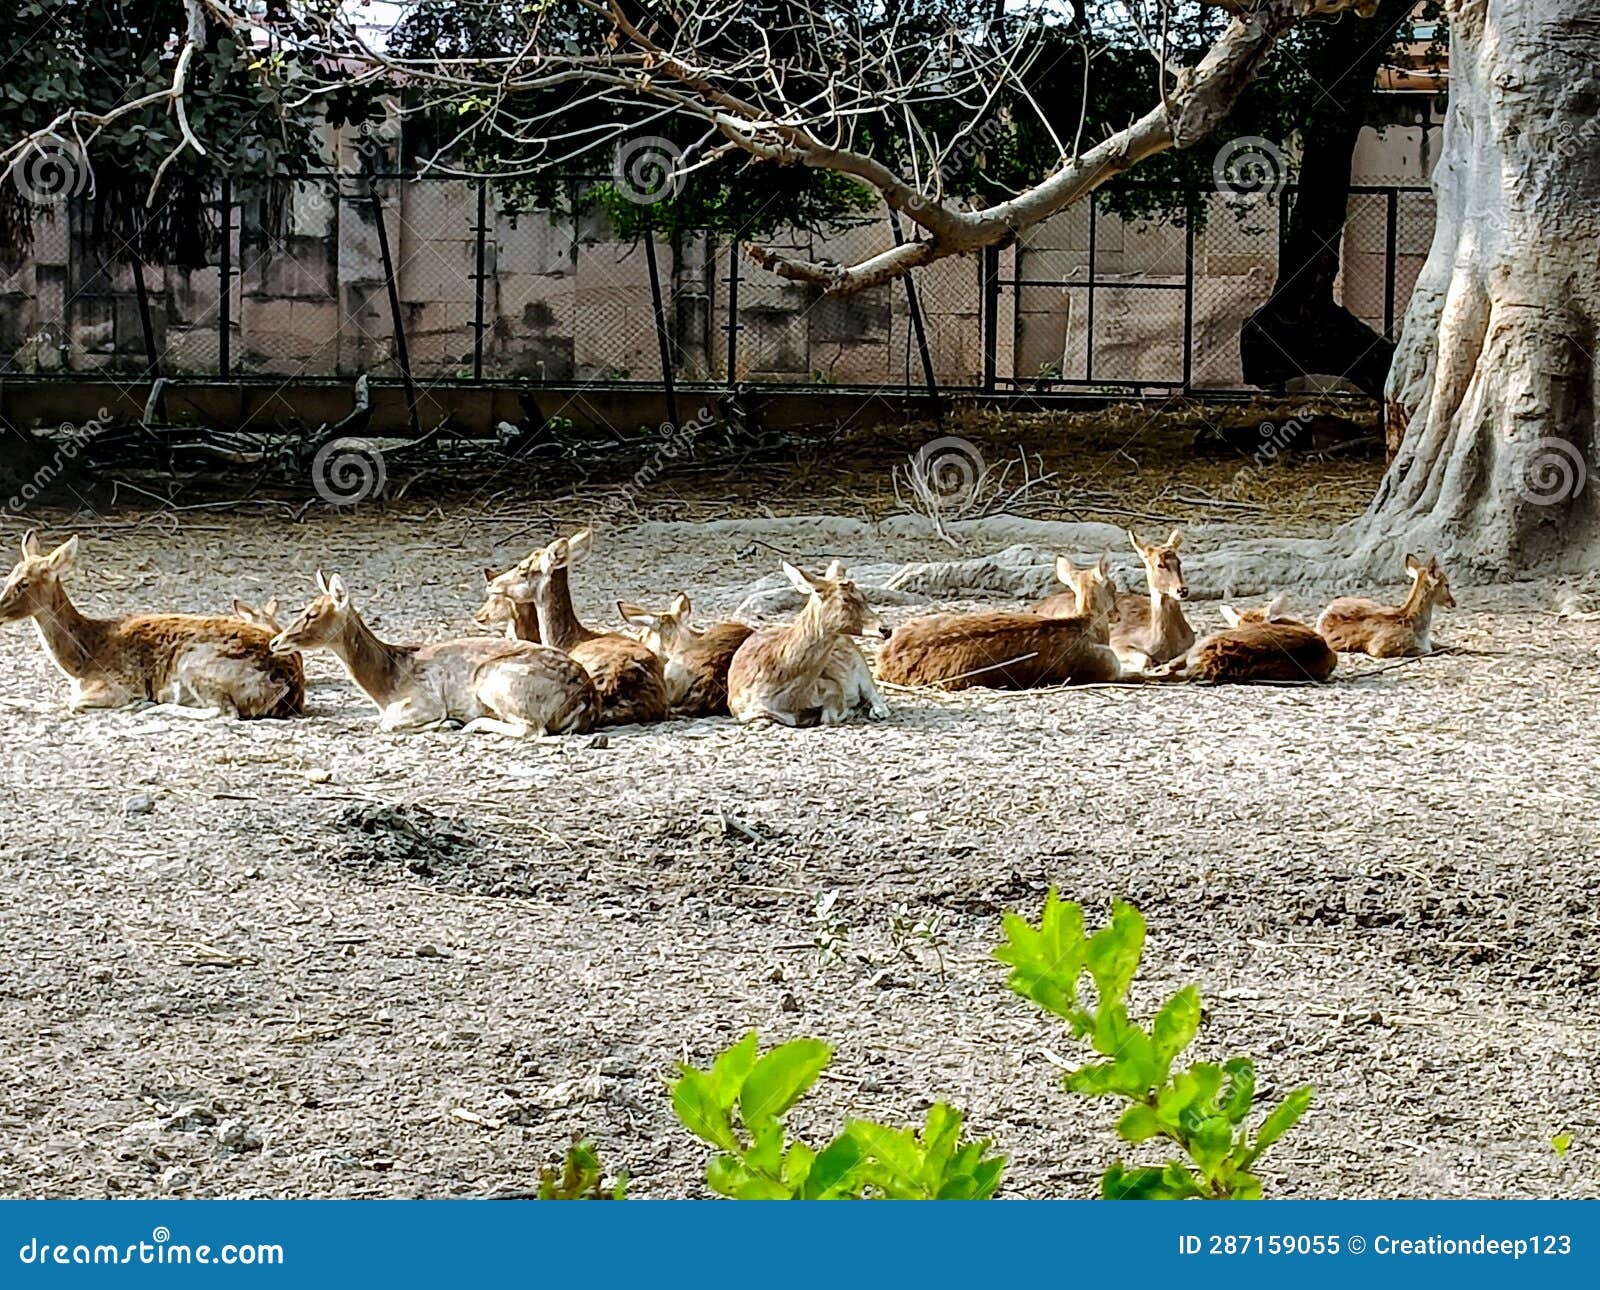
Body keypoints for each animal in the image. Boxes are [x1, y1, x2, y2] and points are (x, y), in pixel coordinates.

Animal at [0, 531, 303, 718]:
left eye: (24, 583)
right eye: (9, 576)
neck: (81, 663)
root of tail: (290, 689)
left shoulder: (118, 683)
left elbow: (72, 703)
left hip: (195, 664)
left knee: (224, 712)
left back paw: (152, 707)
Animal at [270, 572, 596, 736]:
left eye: (312, 613)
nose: (276, 642)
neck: (387, 686)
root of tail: (585, 700)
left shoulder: (424, 700)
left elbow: (388, 723)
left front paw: (448, 722)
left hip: (497, 680)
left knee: (533, 730)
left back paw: (472, 725)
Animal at [726, 561, 891, 726]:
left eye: (864, 596)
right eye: (844, 599)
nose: (885, 629)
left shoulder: (831, 686)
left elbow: (829, 716)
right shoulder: (739, 708)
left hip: (861, 664)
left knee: (873, 692)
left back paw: (877, 712)